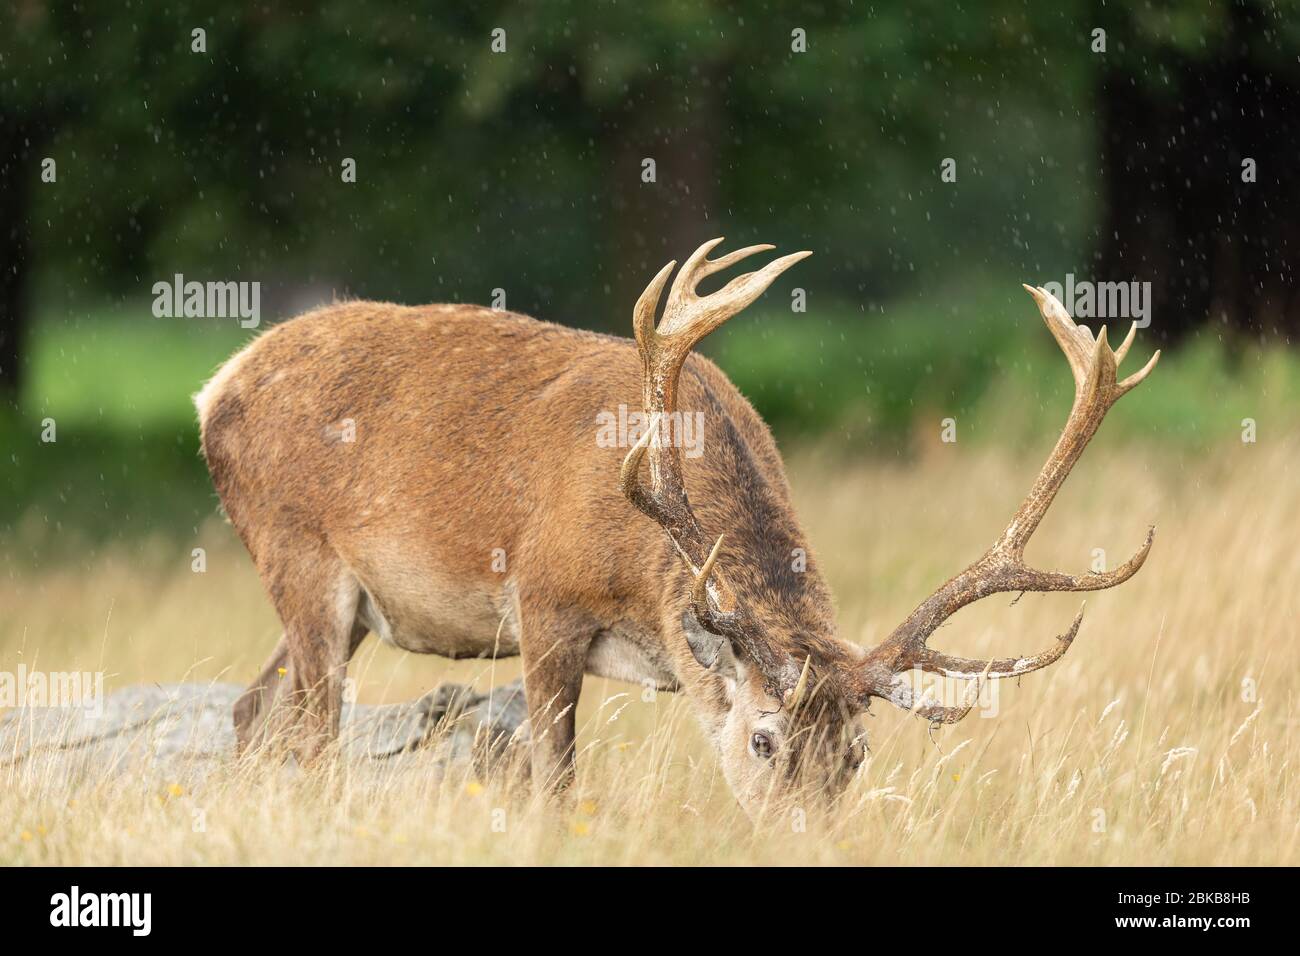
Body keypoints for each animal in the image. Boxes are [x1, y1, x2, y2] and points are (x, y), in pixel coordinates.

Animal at [194, 238, 1158, 815]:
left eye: (856, 755)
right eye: (764, 741)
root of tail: (215, 388)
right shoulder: (543, 603)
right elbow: (555, 785)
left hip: (340, 603)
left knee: (253, 710)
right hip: (297, 552)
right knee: (313, 737)